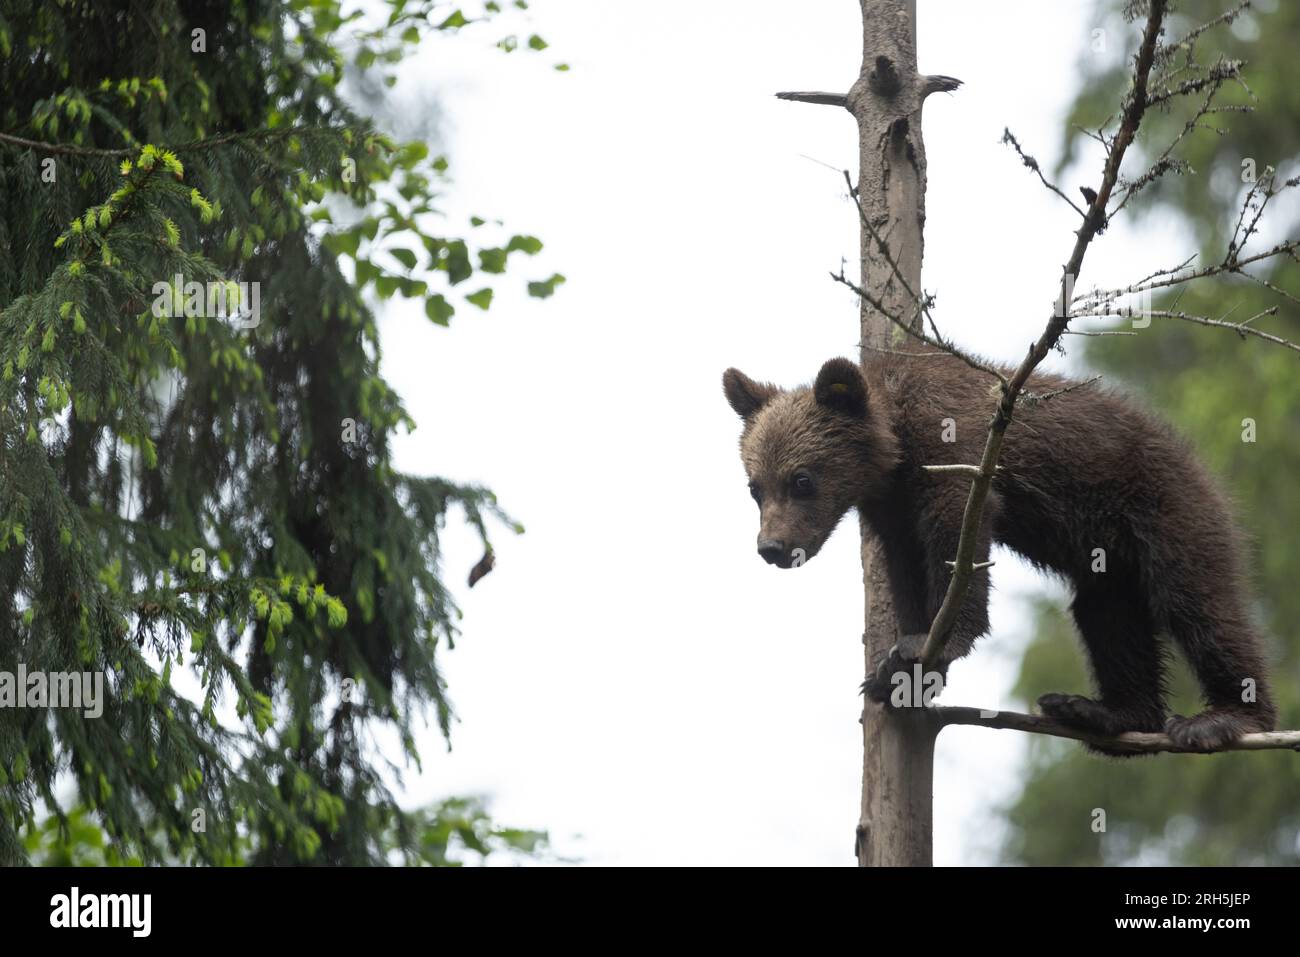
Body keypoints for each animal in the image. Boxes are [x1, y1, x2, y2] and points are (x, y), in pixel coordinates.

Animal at [723, 353, 1276, 753]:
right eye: (754, 487)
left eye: (802, 479)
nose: (772, 548)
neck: (895, 452)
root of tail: (1194, 456)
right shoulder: (893, 513)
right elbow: (906, 573)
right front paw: (900, 671)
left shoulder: (959, 463)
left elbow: (956, 550)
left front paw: (933, 644)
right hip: (1110, 562)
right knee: (1107, 618)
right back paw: (1104, 712)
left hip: (1166, 508)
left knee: (1201, 606)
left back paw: (1224, 718)